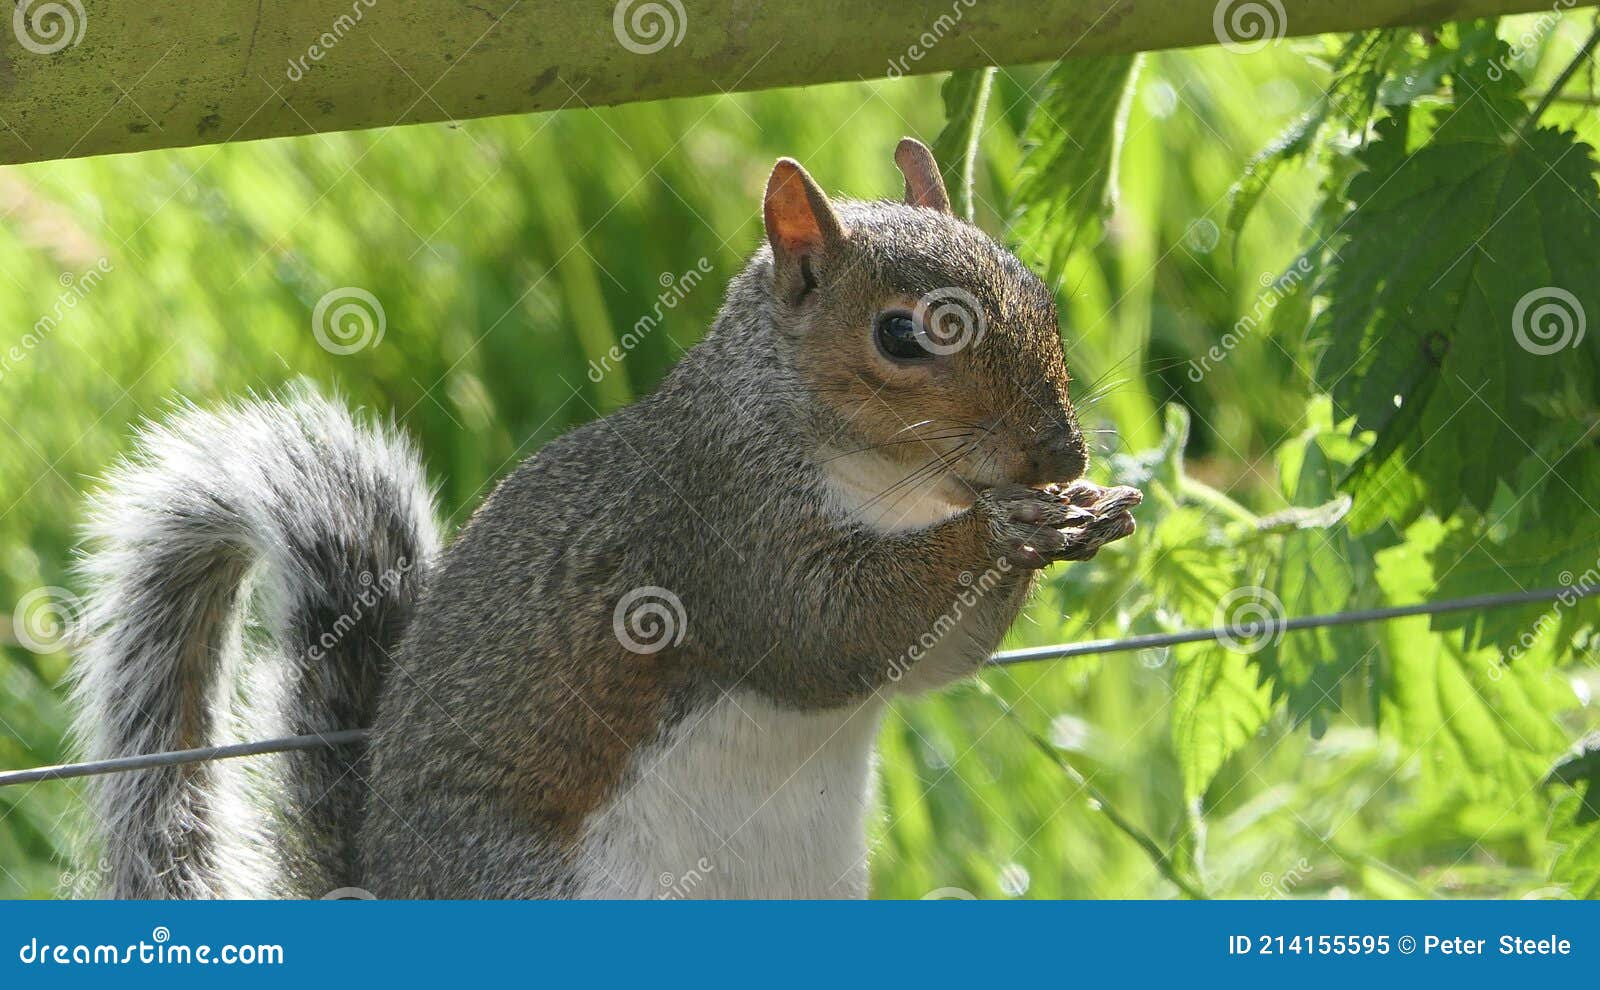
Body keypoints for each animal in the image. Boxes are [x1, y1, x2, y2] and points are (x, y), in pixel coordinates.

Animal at [72, 138, 1141, 899]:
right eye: (902, 336)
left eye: (1040, 292)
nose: (1061, 456)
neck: (888, 485)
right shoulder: (719, 535)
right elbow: (827, 630)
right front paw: (1007, 529)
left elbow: (932, 660)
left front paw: (1080, 513)